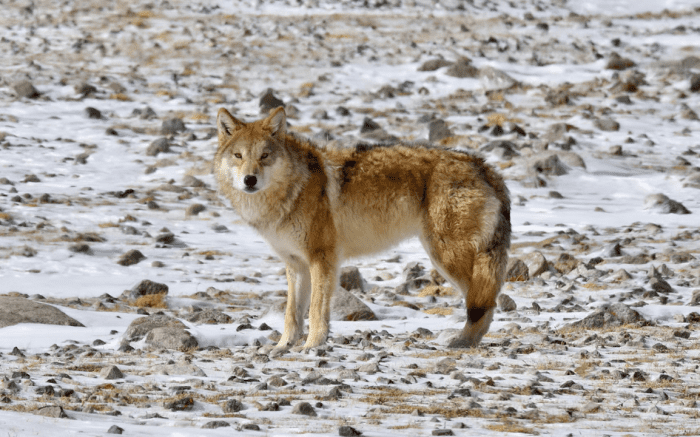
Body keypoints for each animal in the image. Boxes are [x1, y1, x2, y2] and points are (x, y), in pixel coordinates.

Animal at [214, 106, 510, 352]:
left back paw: (462, 342)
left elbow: (316, 309)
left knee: (485, 303)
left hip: (447, 257)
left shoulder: (323, 258)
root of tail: (486, 167)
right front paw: (282, 346)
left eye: (264, 156)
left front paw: (312, 345)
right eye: (238, 156)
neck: (292, 190)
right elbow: (292, 314)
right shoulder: (295, 264)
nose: (249, 179)